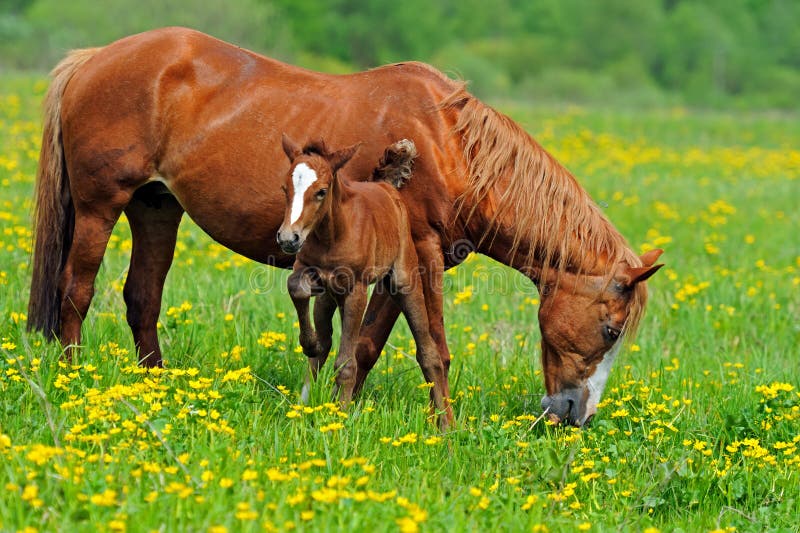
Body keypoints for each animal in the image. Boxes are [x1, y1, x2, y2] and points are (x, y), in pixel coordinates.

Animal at [276, 136, 453, 426]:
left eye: (321, 191)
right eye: (284, 188)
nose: (288, 238)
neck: (332, 234)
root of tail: (387, 187)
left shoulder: (355, 290)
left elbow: (347, 362)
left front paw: (341, 415)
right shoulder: (313, 273)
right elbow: (295, 288)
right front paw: (308, 342)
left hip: (404, 281)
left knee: (429, 352)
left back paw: (445, 426)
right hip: (328, 298)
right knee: (323, 347)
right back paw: (303, 404)